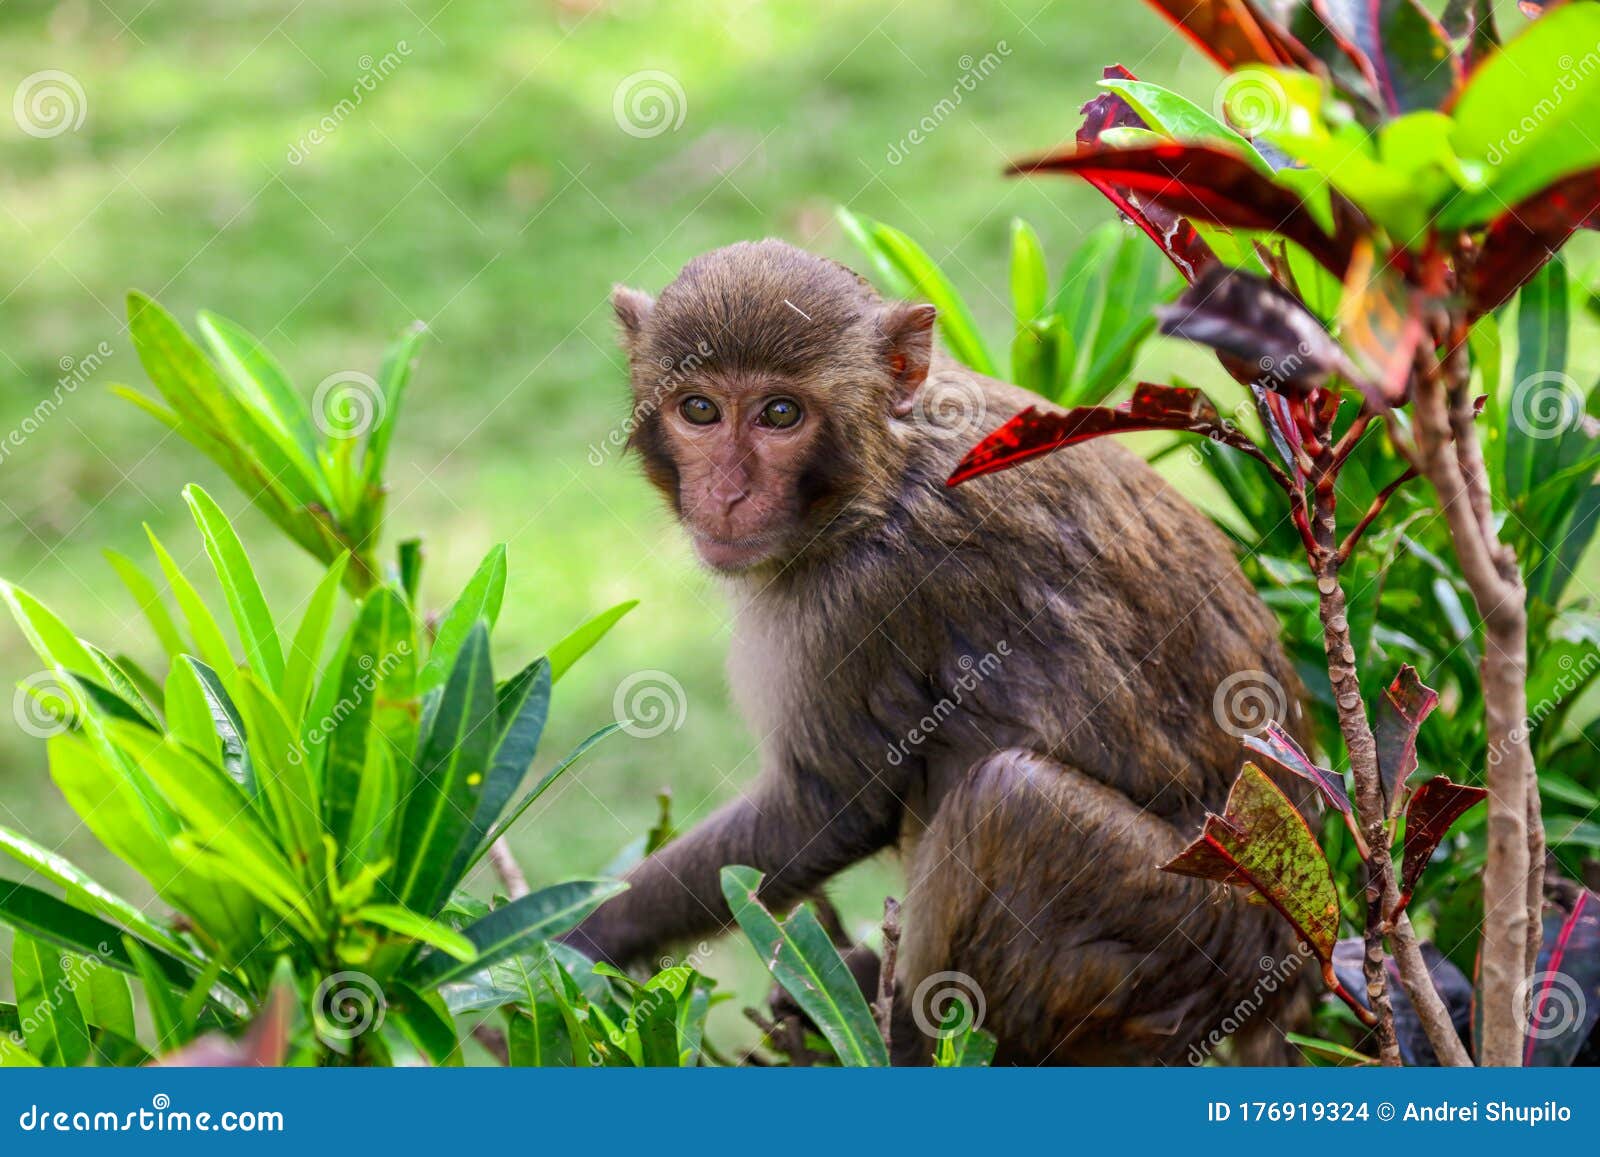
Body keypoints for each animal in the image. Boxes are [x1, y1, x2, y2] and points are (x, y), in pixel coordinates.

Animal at [560, 239, 1312, 1065]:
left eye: (780, 413)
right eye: (699, 408)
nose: (725, 493)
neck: (882, 473)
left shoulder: (858, 598)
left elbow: (827, 807)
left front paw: (580, 935)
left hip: (1187, 942)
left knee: (1013, 800)